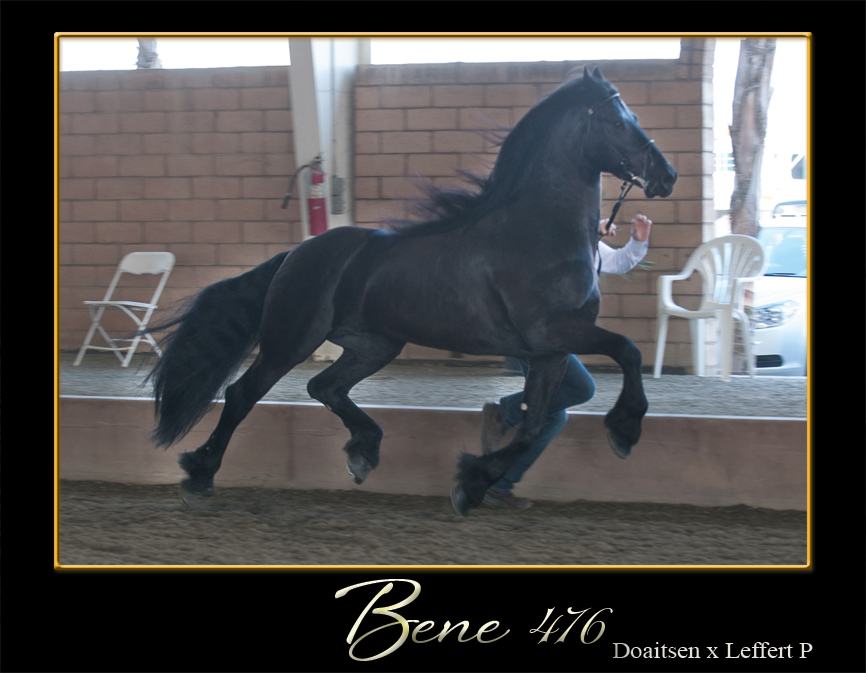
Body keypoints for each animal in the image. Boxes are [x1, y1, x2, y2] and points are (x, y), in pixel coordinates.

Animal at [145, 66, 677, 516]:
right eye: (616, 118)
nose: (666, 175)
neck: (539, 233)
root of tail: (296, 254)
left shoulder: (551, 352)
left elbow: (530, 427)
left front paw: (471, 483)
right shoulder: (553, 333)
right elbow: (627, 350)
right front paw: (626, 428)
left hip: (375, 344)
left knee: (325, 387)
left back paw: (364, 450)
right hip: (290, 340)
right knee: (242, 395)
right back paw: (199, 477)